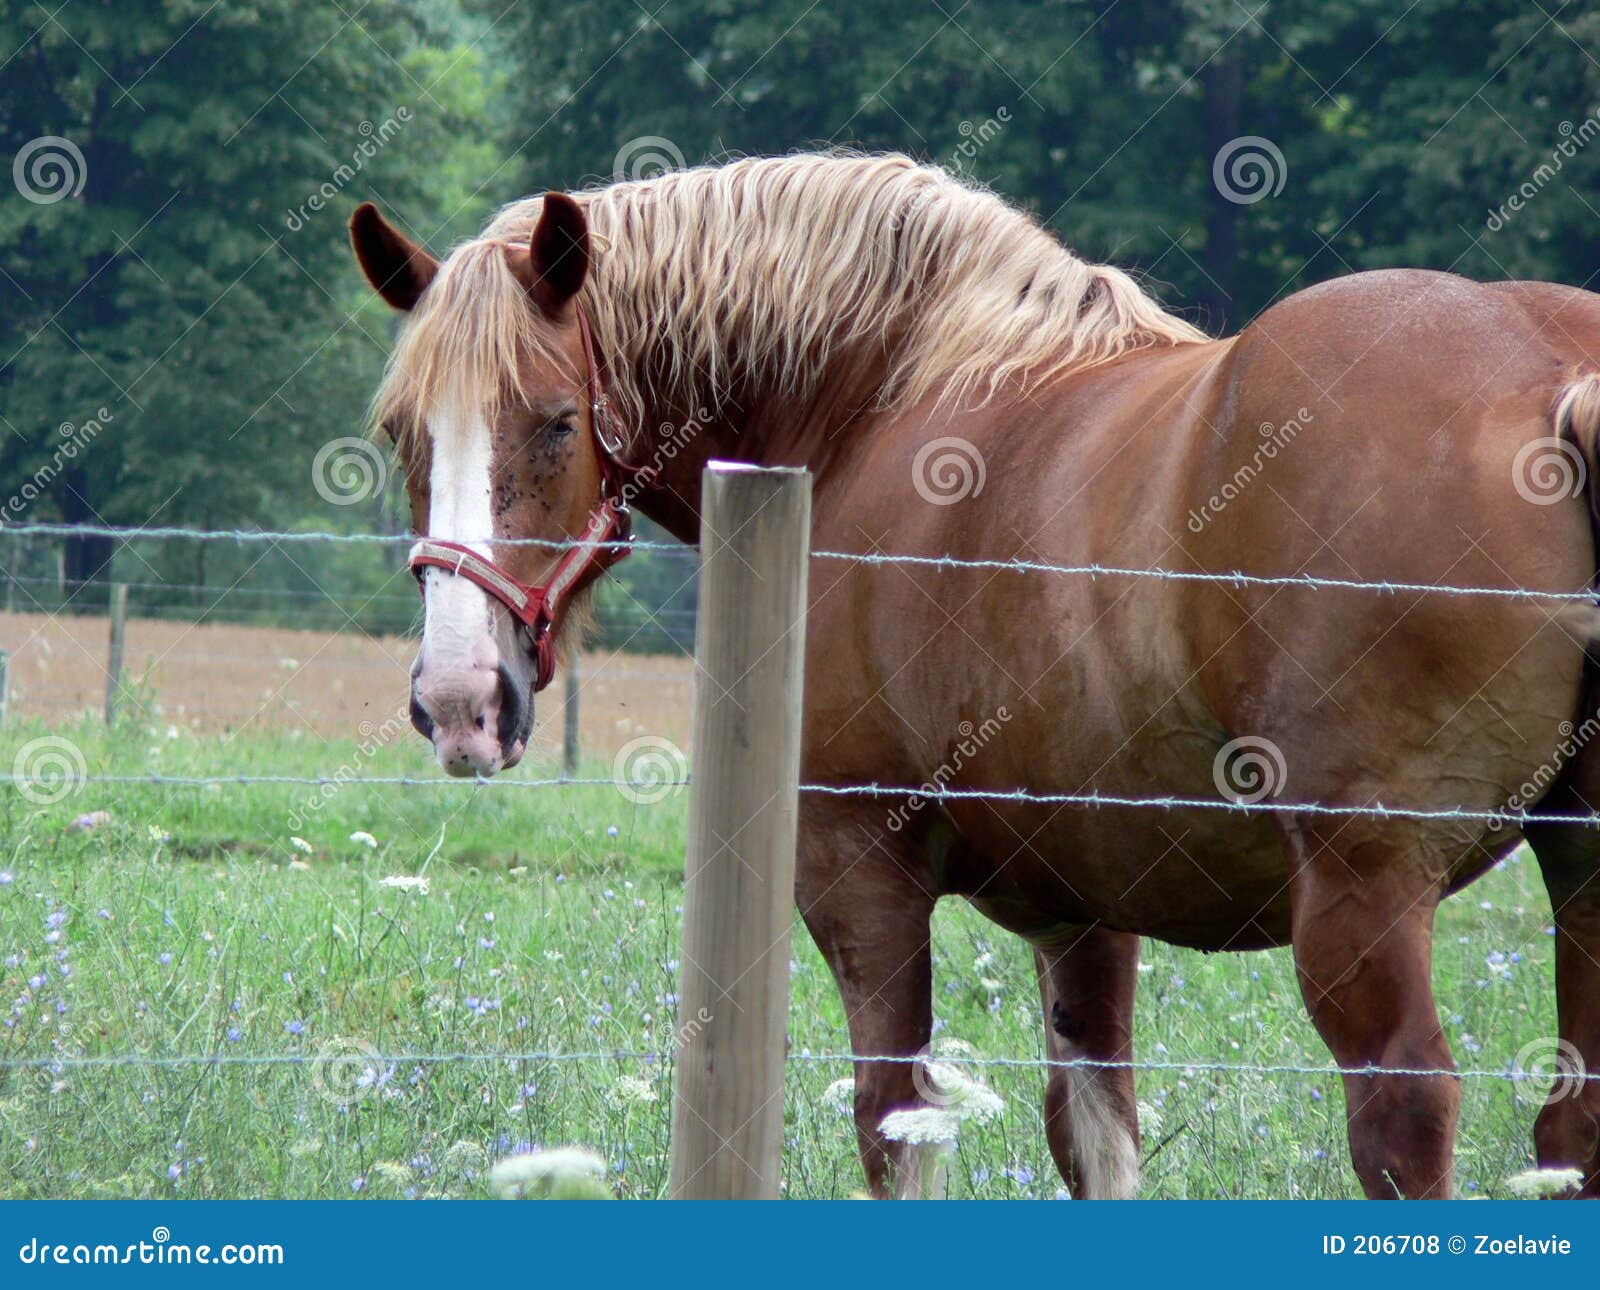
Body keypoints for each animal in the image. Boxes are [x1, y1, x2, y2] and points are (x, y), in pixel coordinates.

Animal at [350, 152, 1600, 1199]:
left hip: (1361, 898)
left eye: (556, 422)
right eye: (403, 433)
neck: (880, 396)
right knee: (1568, 1123)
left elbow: (897, 1126)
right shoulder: (1084, 915)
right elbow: (1094, 1137)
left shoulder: (857, 872)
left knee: (1404, 1115)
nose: (458, 700)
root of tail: (1551, 375)